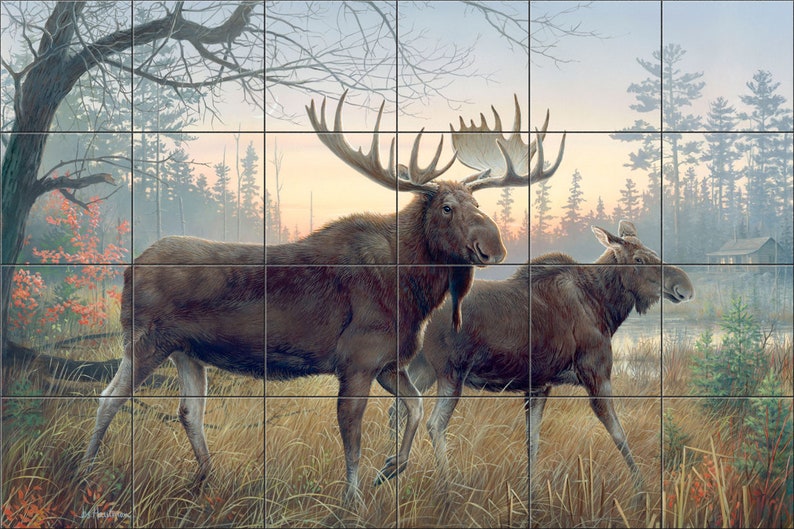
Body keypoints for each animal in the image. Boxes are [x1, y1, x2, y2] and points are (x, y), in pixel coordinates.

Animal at [81, 92, 565, 507]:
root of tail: (128, 268)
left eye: (479, 205)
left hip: (188, 352)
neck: (412, 292)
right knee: (108, 398)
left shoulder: (390, 362)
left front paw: (391, 468)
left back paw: (203, 479)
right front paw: (355, 499)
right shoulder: (356, 361)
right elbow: (353, 437)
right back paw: (86, 471)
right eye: (446, 208)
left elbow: (413, 408)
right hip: (145, 341)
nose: (494, 246)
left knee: (189, 411)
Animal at [390, 221, 694, 498]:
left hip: (422, 367)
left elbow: (532, 441)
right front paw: (642, 488)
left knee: (400, 410)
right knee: (433, 423)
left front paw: (532, 491)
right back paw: (447, 489)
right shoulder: (595, 373)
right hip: (450, 371)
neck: (604, 307)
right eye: (639, 259)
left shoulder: (539, 385)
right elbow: (619, 433)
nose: (684, 286)